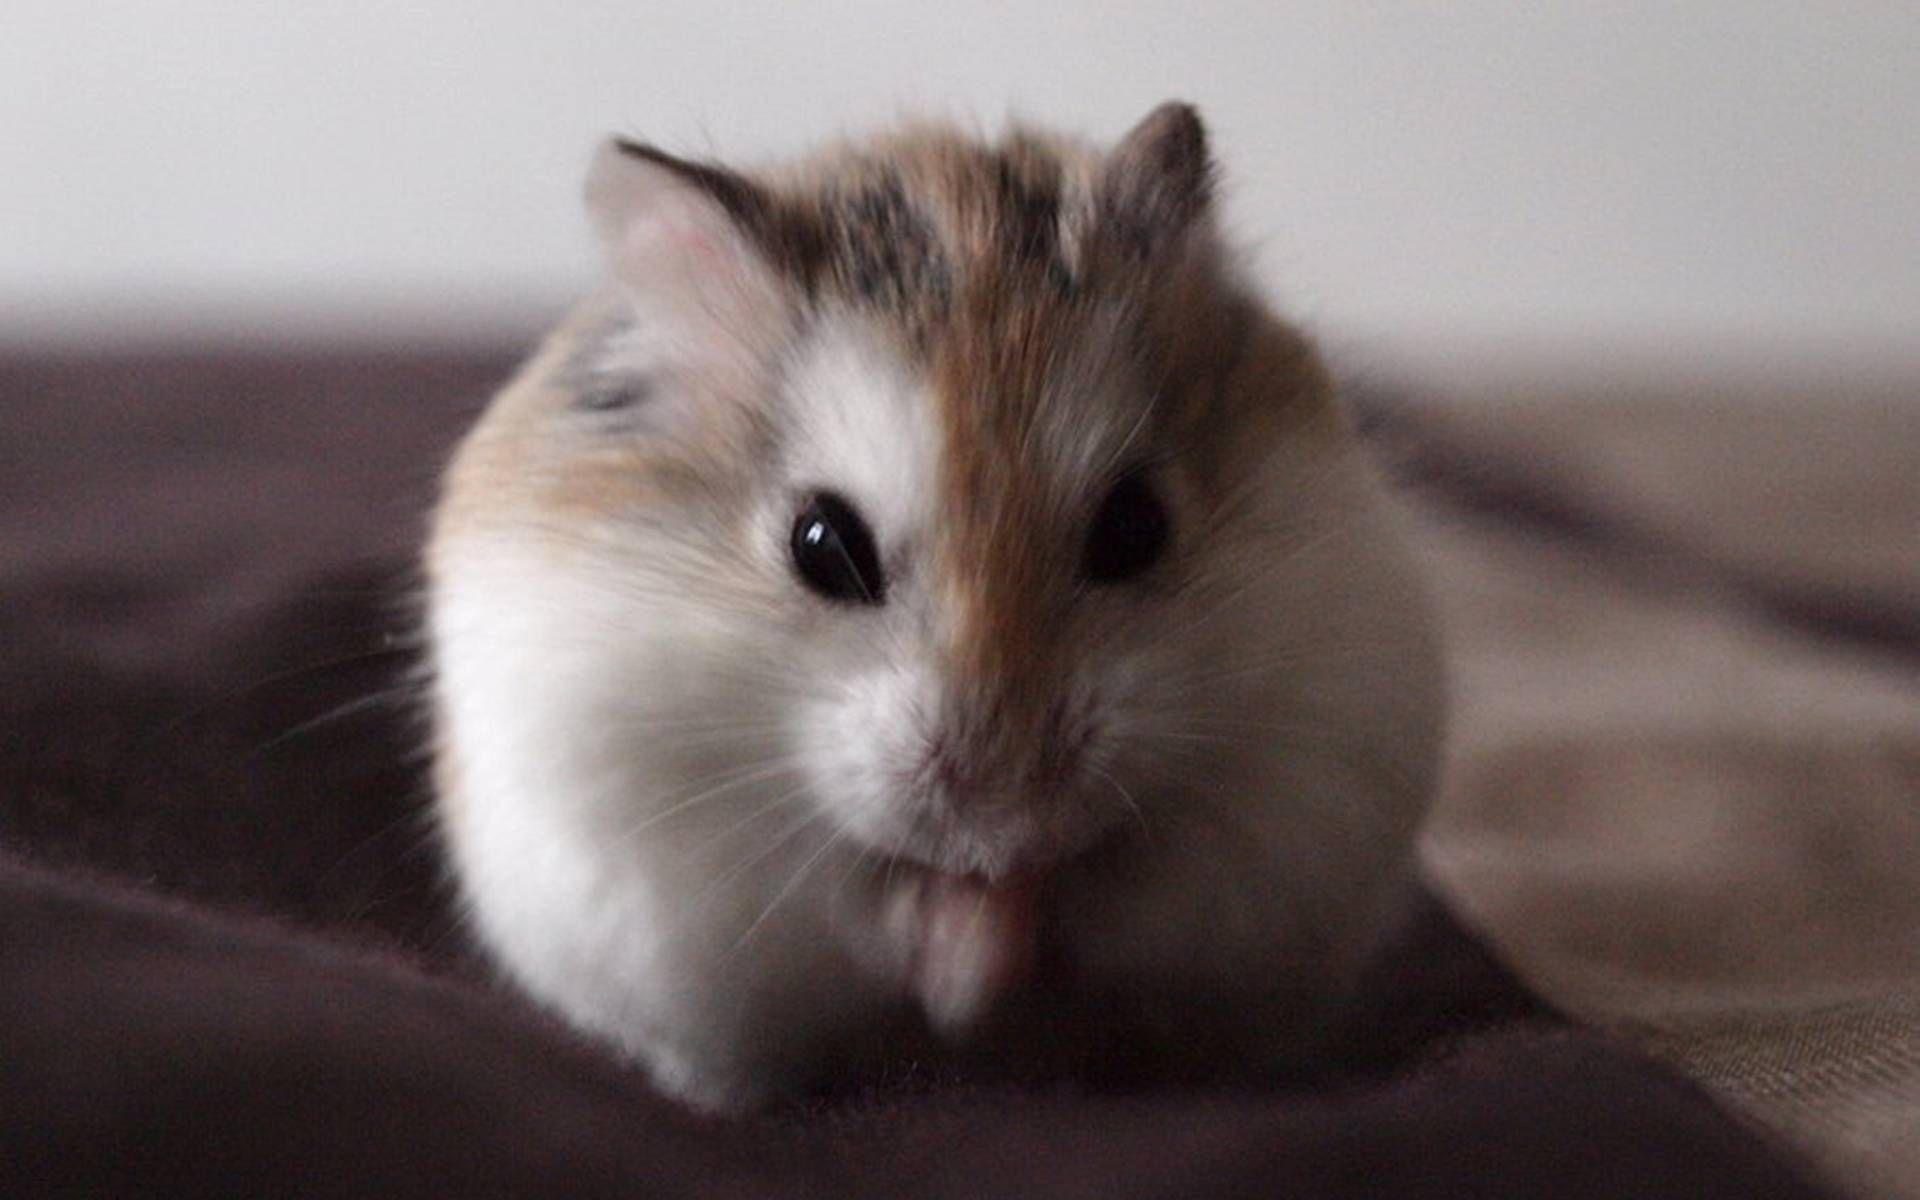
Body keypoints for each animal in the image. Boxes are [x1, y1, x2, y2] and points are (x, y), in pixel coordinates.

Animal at [425, 102, 1444, 1111]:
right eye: (821, 546)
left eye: (1136, 527)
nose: (1004, 826)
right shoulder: (686, 852)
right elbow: (878, 915)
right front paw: (974, 941)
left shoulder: (1280, 807)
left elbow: (1110, 907)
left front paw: (1009, 919)